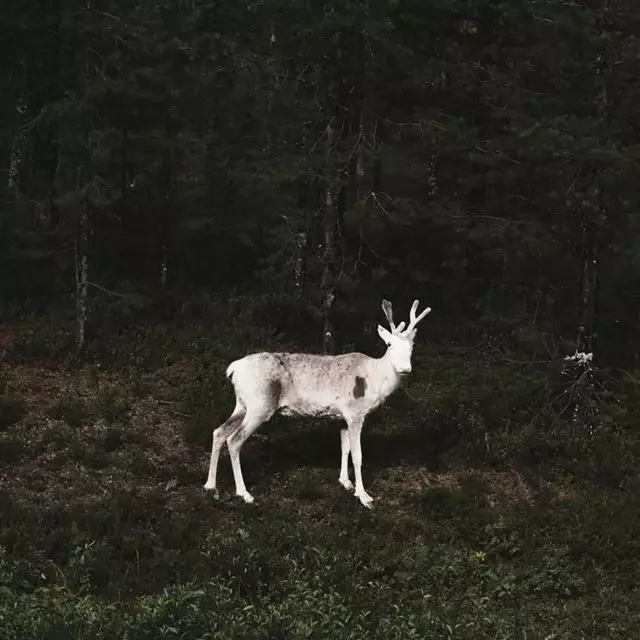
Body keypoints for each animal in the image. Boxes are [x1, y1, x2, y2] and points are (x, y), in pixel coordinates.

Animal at [202, 298, 432, 508]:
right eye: (389, 344)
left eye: (412, 346)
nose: (405, 368)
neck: (376, 380)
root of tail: (233, 369)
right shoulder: (355, 412)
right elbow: (358, 455)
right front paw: (364, 496)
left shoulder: (341, 416)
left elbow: (345, 448)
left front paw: (345, 482)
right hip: (260, 404)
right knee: (234, 440)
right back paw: (244, 494)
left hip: (242, 404)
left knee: (218, 432)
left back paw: (210, 486)